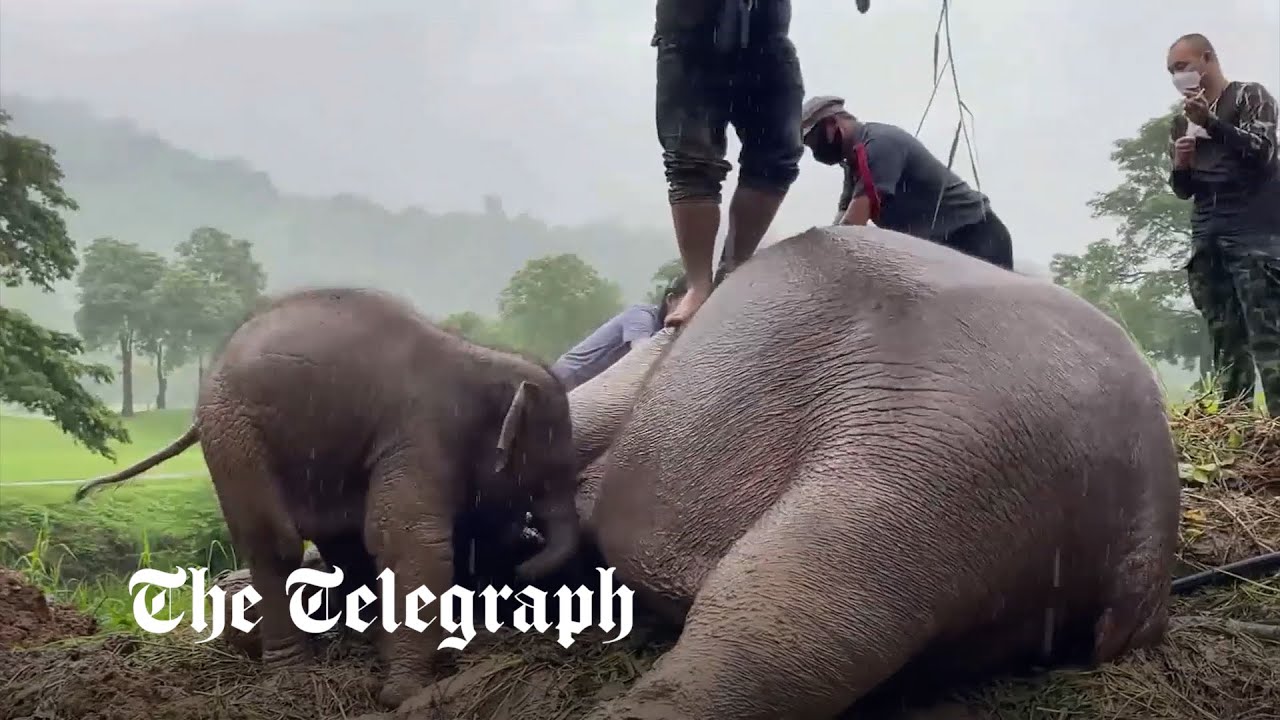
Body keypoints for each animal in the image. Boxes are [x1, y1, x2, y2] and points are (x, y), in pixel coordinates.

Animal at [73, 287, 580, 709]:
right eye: (552, 470)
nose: (527, 561)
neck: (483, 356)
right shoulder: (421, 432)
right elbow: (409, 540)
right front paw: (402, 694)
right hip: (234, 435)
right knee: (275, 544)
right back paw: (291, 675)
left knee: (337, 541)